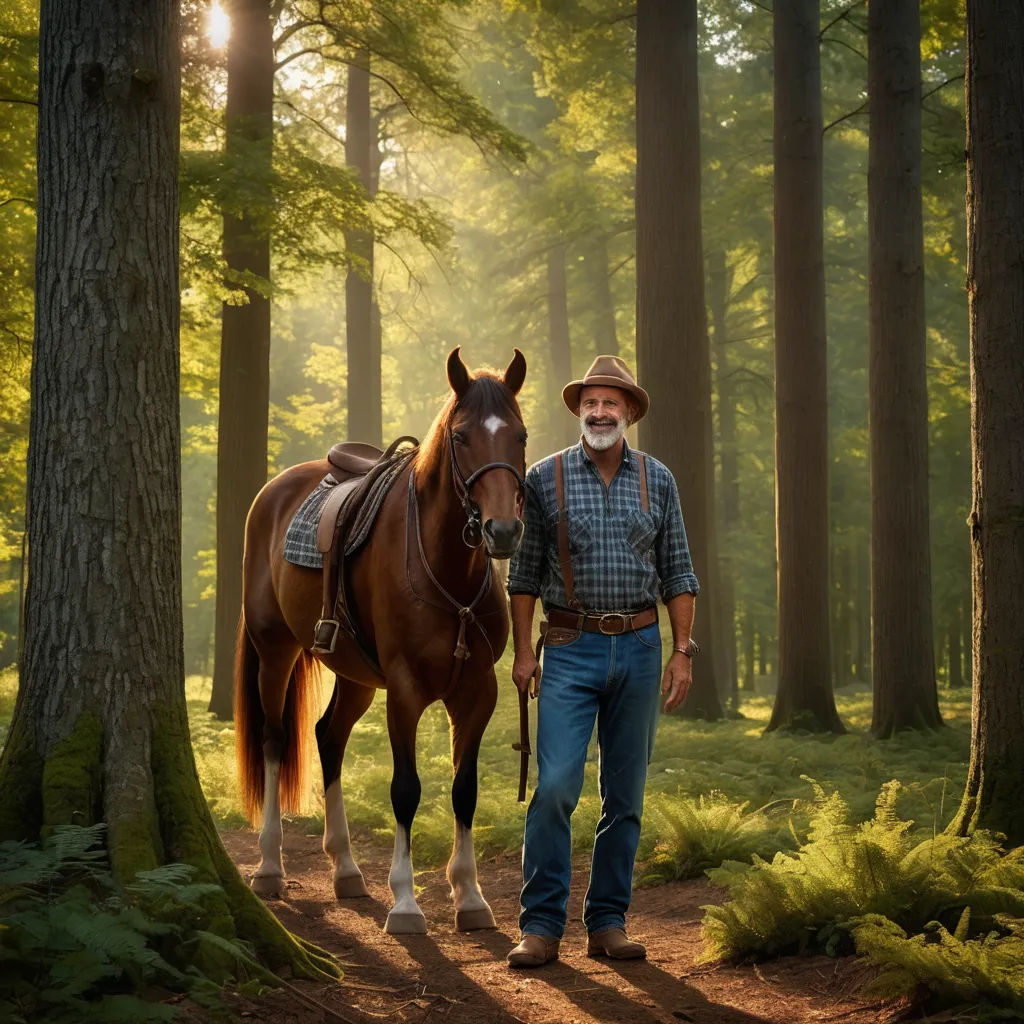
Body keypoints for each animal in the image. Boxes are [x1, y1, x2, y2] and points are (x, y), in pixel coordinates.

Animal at [234, 347, 528, 934]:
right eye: (462, 436)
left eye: (522, 435)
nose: (502, 530)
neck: (444, 566)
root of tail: (275, 491)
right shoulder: (405, 690)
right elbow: (406, 790)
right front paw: (406, 901)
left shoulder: (478, 692)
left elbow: (465, 790)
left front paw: (470, 896)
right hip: (275, 651)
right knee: (276, 740)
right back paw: (270, 867)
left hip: (355, 676)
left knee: (328, 738)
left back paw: (346, 870)